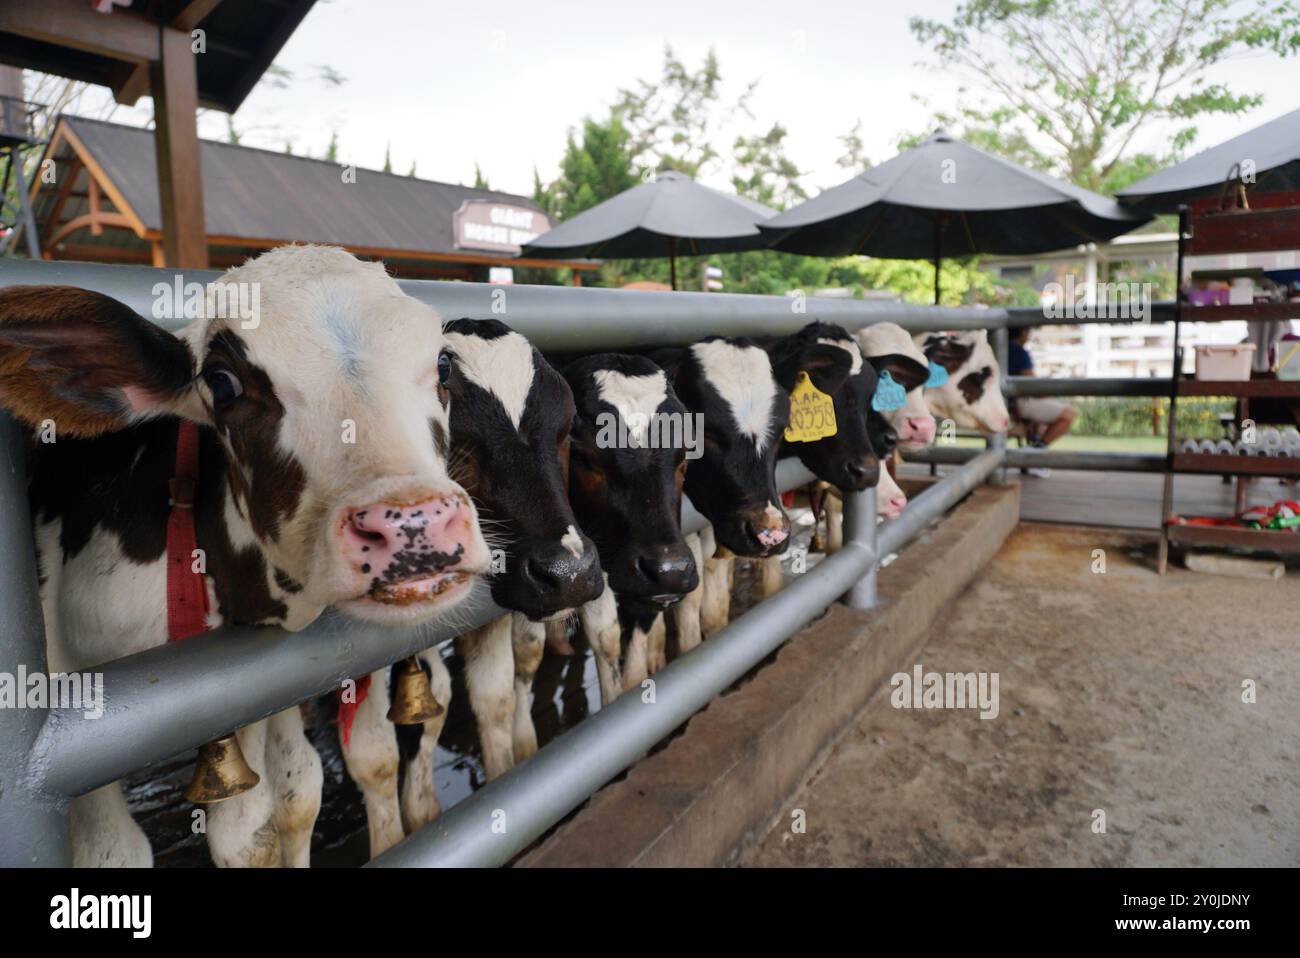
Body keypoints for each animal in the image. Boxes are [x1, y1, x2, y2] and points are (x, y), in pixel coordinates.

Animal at [0, 245, 492, 868]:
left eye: (443, 366)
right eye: (223, 382)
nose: (412, 524)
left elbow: (280, 807)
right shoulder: (73, 718)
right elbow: (120, 849)